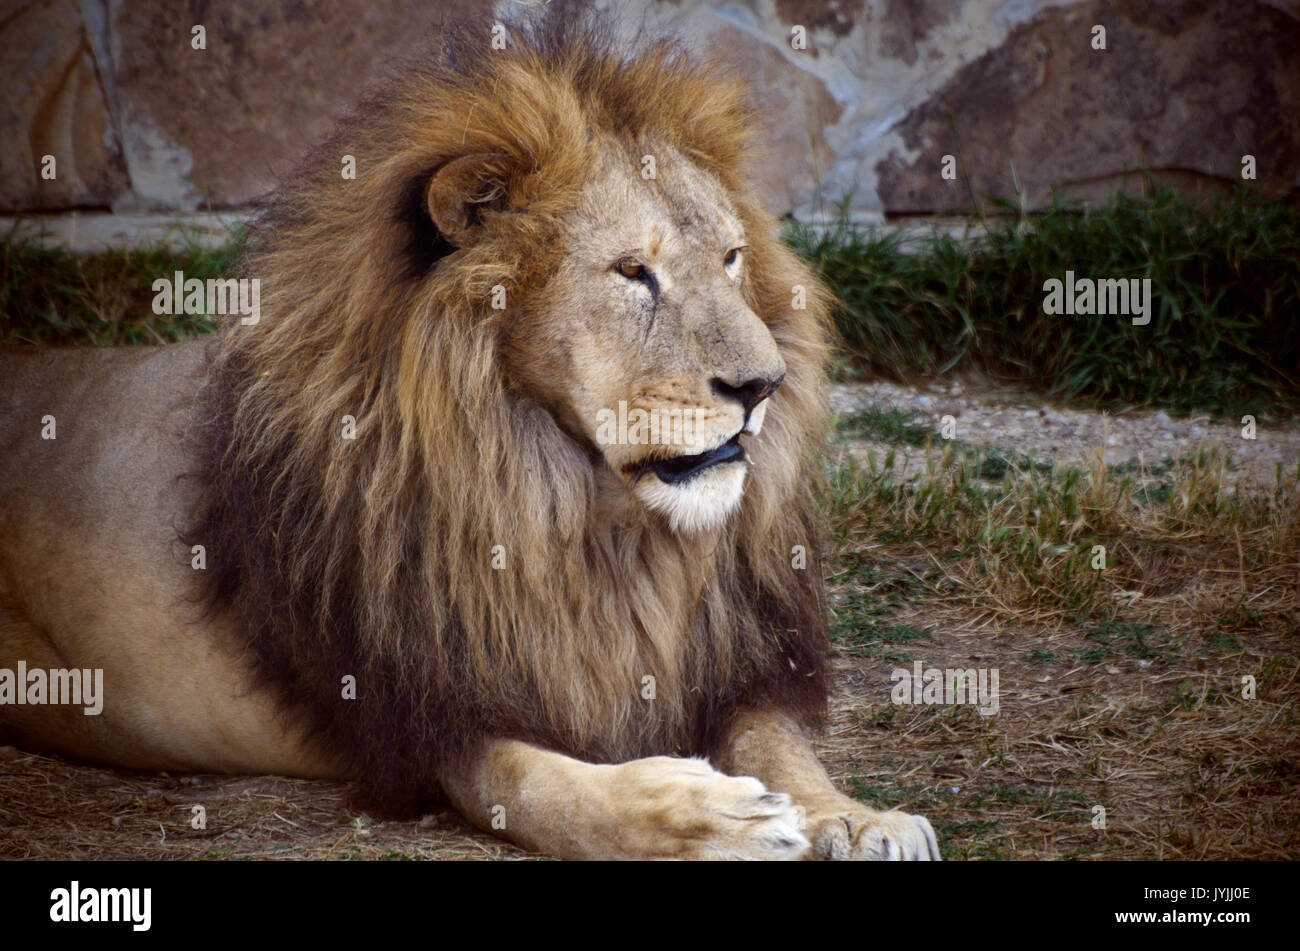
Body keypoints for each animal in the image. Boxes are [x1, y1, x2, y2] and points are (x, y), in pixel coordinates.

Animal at [0, 16, 939, 860]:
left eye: (734, 257)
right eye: (633, 271)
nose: (762, 385)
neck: (588, 515)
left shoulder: (733, 662)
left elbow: (783, 745)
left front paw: (858, 817)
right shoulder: (433, 712)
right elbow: (549, 789)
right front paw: (708, 817)